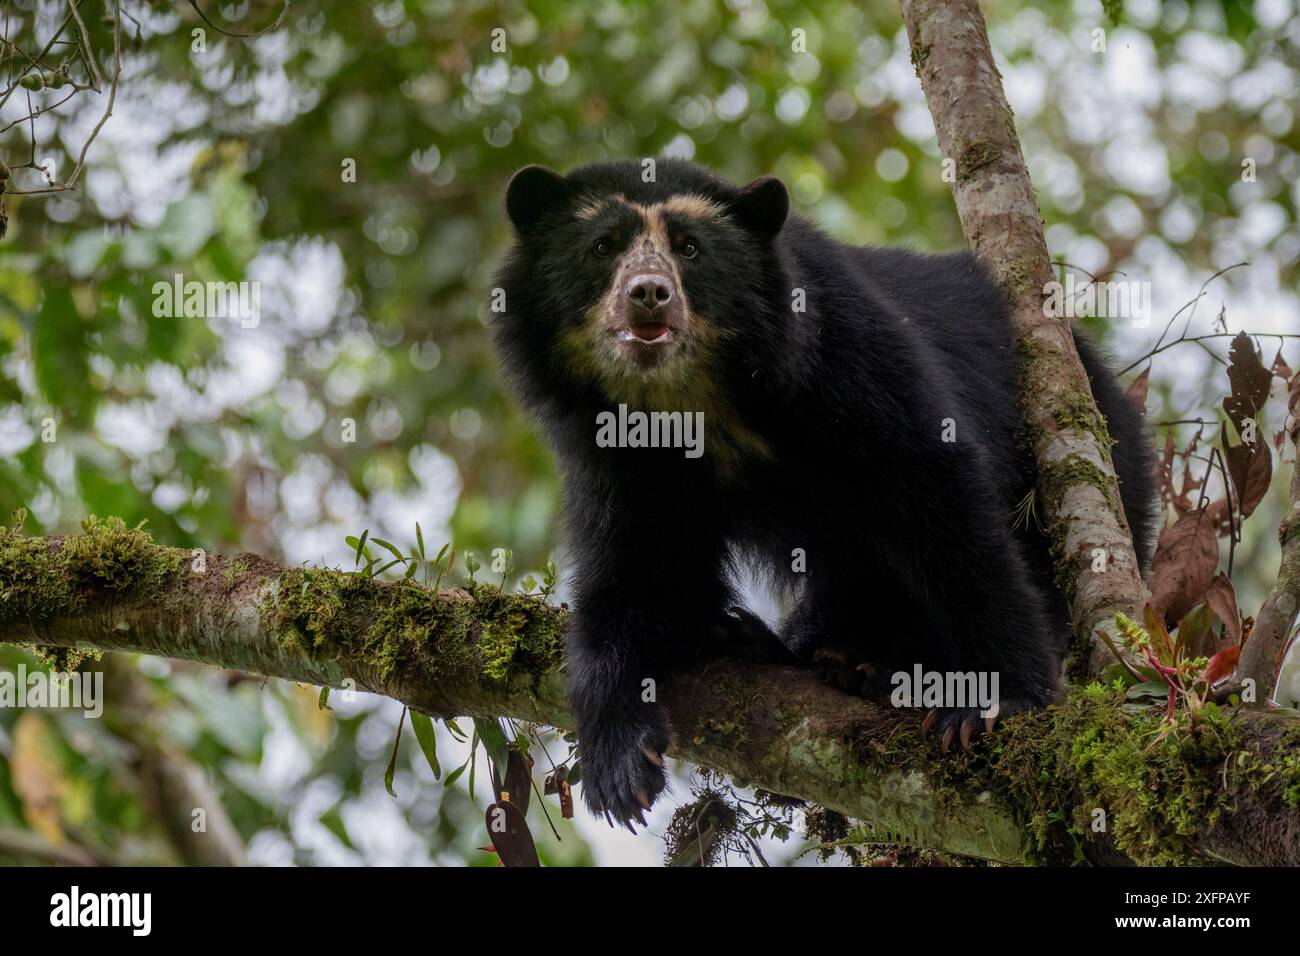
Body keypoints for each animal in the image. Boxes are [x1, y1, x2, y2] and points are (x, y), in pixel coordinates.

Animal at [491, 158, 1155, 830]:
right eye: (603, 246)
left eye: (690, 248)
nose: (648, 294)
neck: (692, 399)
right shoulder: (615, 452)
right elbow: (631, 566)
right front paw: (620, 766)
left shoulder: (839, 349)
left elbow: (937, 497)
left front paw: (991, 702)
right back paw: (769, 643)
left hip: (1094, 443)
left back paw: (875, 665)